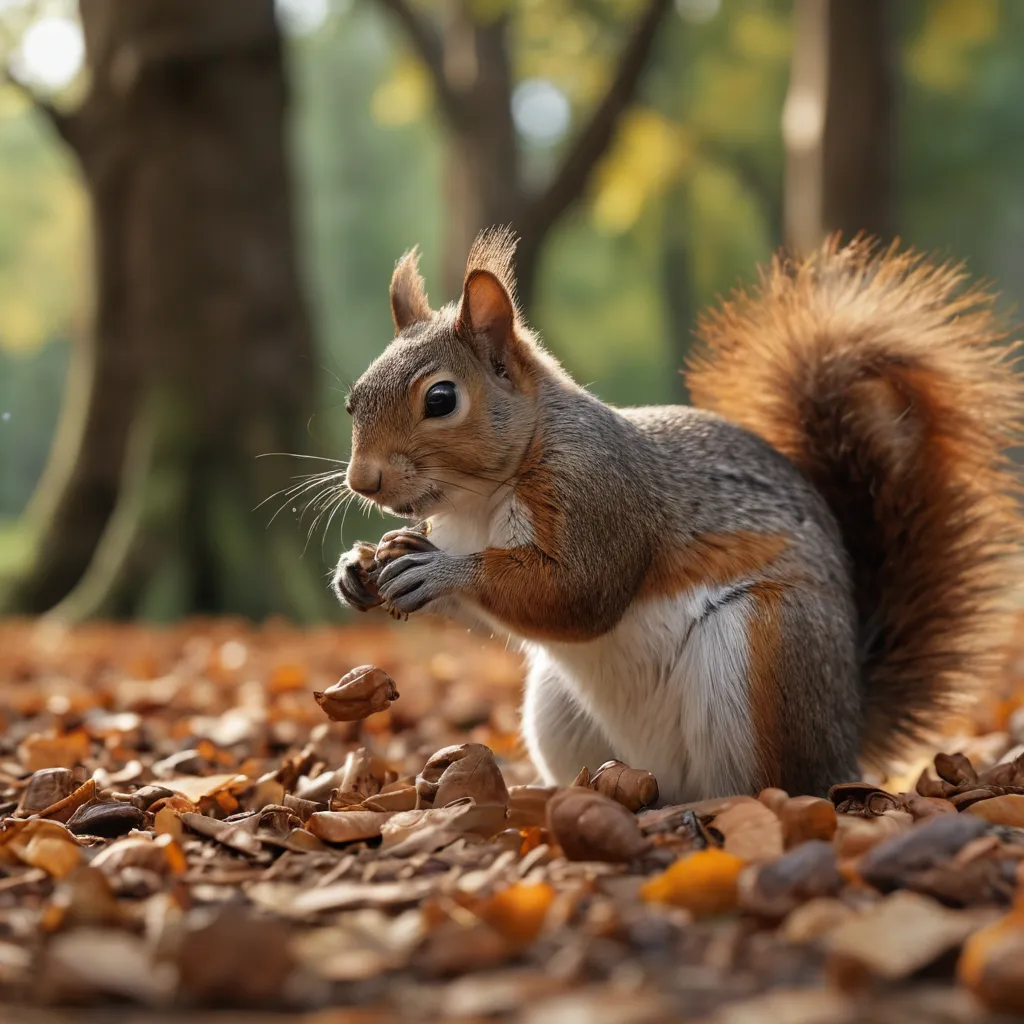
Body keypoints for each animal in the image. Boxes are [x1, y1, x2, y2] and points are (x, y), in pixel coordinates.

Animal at [333, 227, 1024, 803]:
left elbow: (579, 594)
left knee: (762, 784)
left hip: (764, 651)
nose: (362, 481)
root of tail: (845, 735)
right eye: (352, 401)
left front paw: (441, 573)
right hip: (561, 711)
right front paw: (358, 568)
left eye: (441, 400)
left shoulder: (599, 494)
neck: (480, 499)